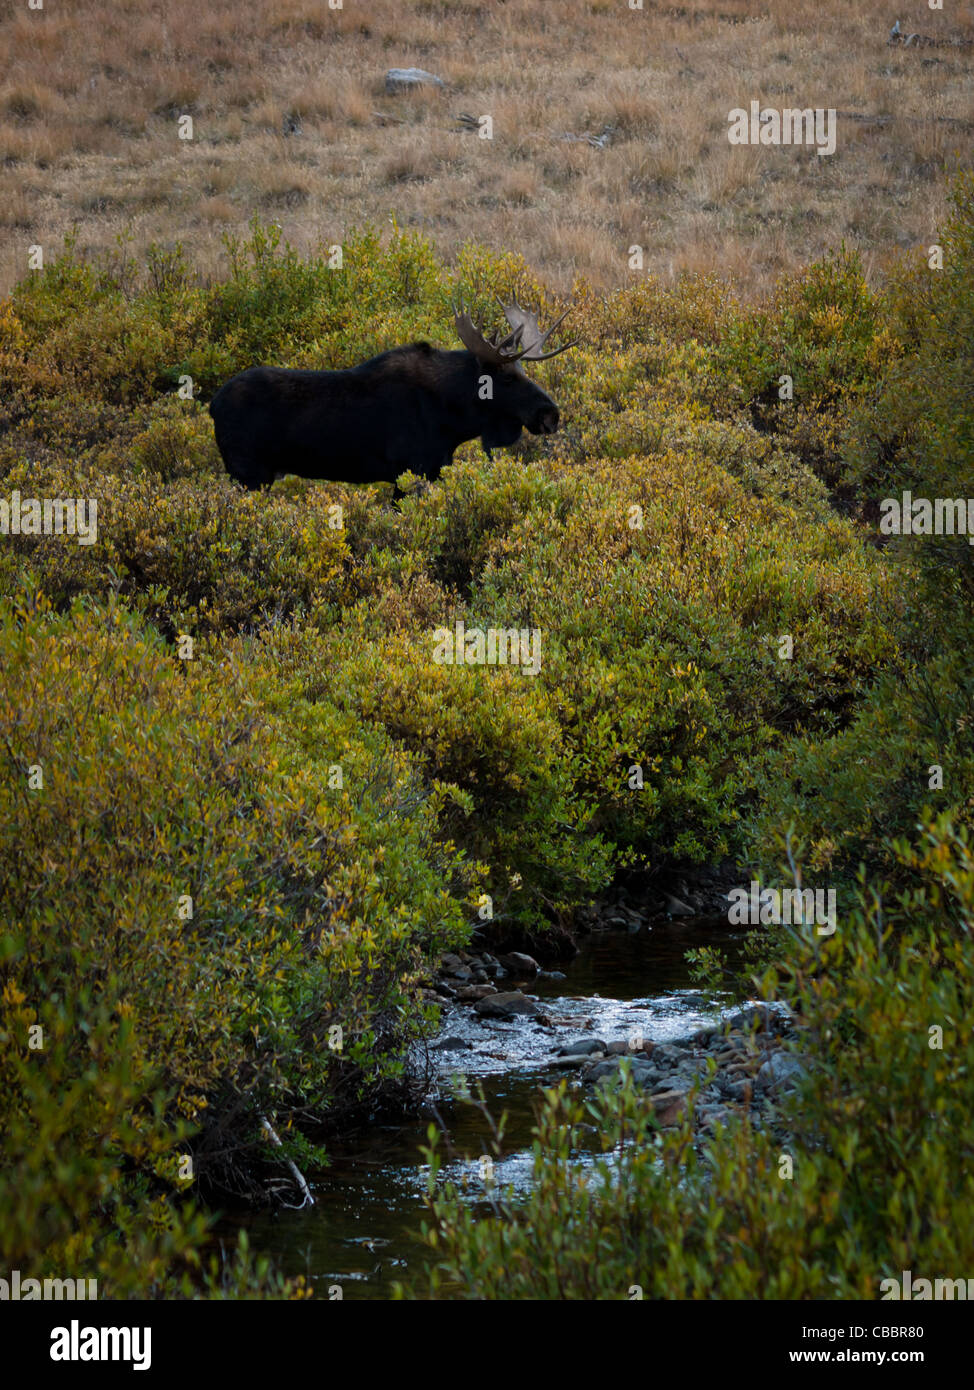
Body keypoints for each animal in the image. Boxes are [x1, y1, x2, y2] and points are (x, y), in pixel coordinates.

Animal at [208, 301, 577, 492]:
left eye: (524, 371)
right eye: (506, 377)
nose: (550, 414)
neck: (452, 420)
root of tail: (212, 404)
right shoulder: (410, 470)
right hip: (249, 474)